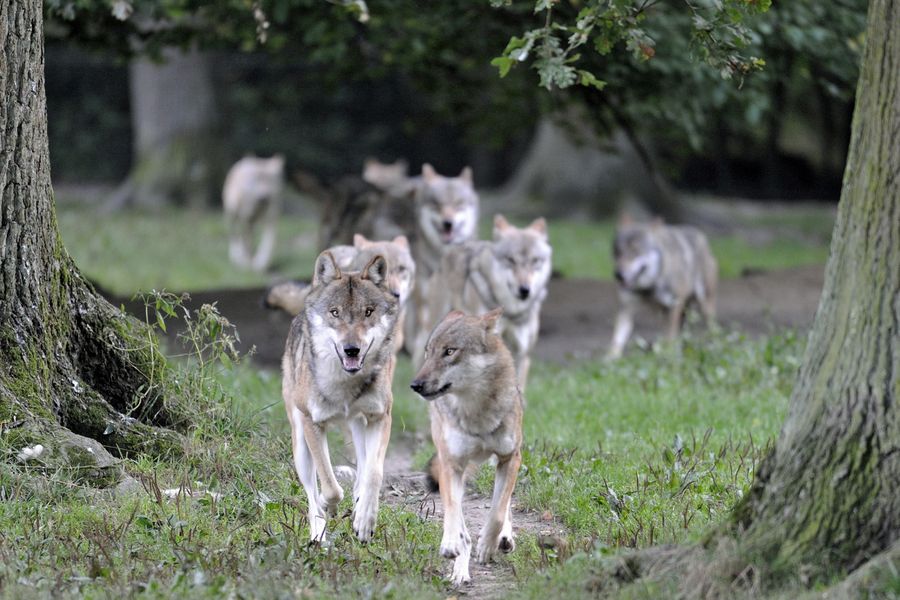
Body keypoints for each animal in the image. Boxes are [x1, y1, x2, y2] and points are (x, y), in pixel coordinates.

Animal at [281, 250, 400, 542]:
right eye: (335, 312)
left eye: (368, 312)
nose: (351, 349)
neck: (346, 386)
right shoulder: (313, 423)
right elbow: (329, 486)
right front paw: (330, 507)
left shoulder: (381, 417)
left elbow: (374, 474)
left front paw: (365, 522)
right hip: (299, 442)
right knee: (311, 492)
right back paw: (318, 536)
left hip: (360, 427)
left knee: (362, 471)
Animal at [410, 309, 523, 585]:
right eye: (428, 352)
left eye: (449, 351)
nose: (415, 385)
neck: (476, 411)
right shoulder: (452, 465)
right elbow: (453, 516)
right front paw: (452, 546)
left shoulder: (510, 457)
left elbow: (497, 512)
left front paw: (489, 545)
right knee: (462, 524)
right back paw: (460, 571)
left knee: (504, 505)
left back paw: (504, 539)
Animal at [417, 215, 551, 390]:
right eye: (510, 260)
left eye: (535, 260)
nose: (525, 290)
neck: (511, 311)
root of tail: (457, 246)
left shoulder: (522, 353)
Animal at [608, 216, 718, 359]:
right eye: (618, 252)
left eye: (636, 252)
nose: (618, 275)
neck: (649, 286)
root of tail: (702, 236)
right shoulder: (626, 308)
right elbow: (617, 339)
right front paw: (610, 359)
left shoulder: (673, 306)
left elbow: (670, 336)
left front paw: (669, 357)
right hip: (665, 313)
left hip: (703, 306)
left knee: (712, 328)